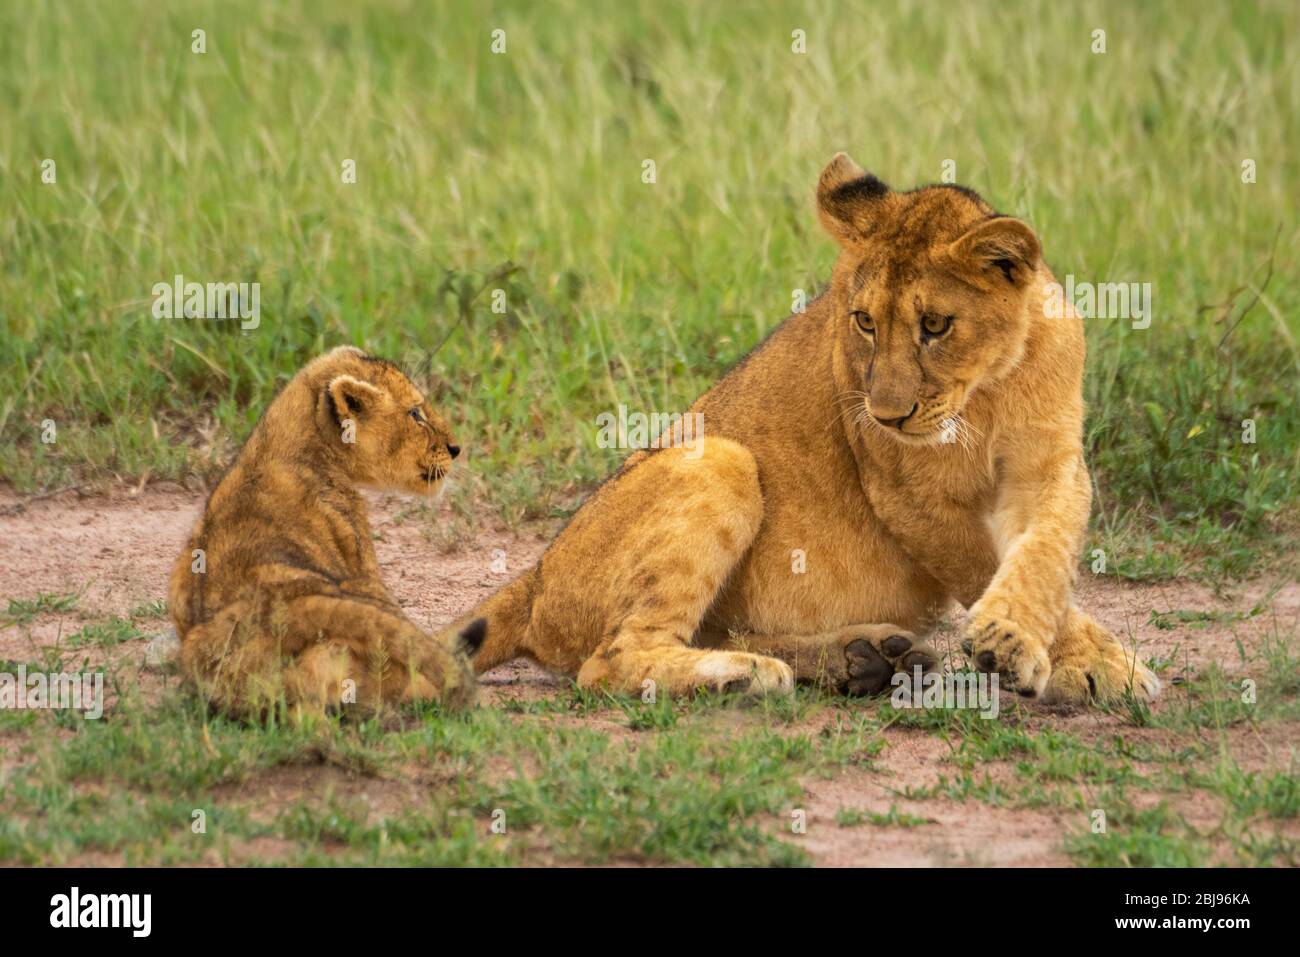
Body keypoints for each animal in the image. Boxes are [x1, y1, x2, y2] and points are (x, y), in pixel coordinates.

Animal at [438, 153, 1160, 707]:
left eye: (935, 325)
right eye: (865, 322)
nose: (887, 416)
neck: (987, 390)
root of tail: (534, 576)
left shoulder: (1053, 464)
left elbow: (1046, 553)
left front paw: (1037, 646)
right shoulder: (908, 495)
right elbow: (983, 564)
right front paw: (1077, 661)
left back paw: (864, 658)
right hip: (719, 458)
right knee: (610, 661)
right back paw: (747, 676)